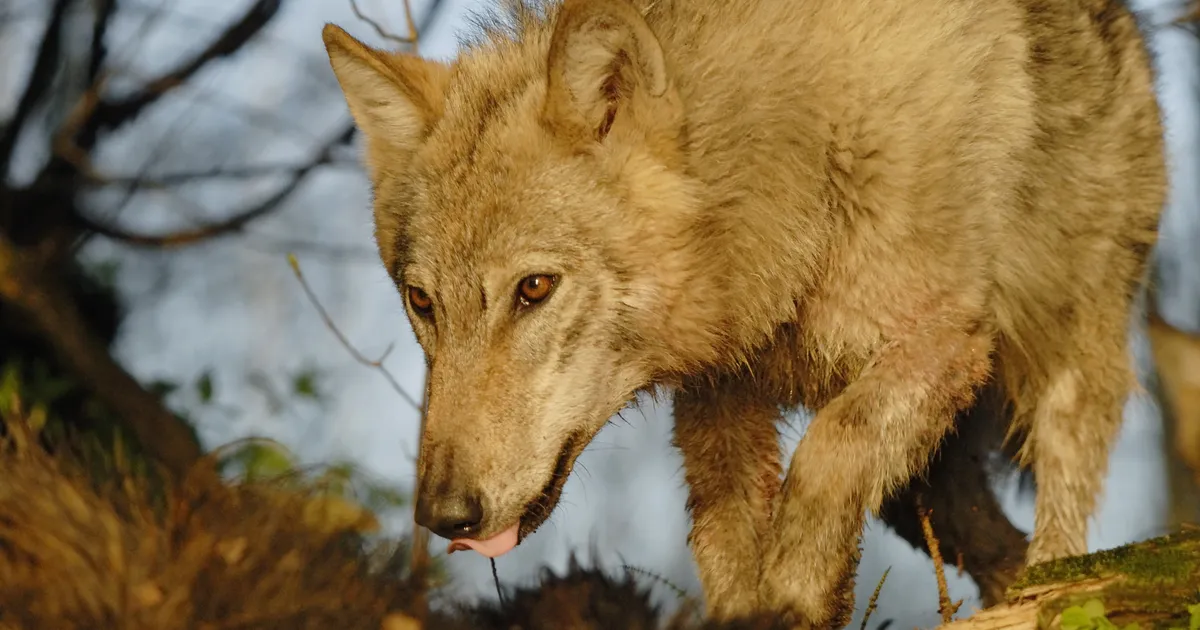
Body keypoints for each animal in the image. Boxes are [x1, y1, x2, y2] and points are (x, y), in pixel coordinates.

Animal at [321, 0, 1166, 624]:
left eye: (533, 289)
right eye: (422, 302)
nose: (443, 514)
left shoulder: (944, 339)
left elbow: (830, 448)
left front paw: (796, 591)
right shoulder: (719, 402)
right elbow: (721, 545)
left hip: (1063, 360)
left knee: (1062, 530)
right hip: (922, 488)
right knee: (994, 548)